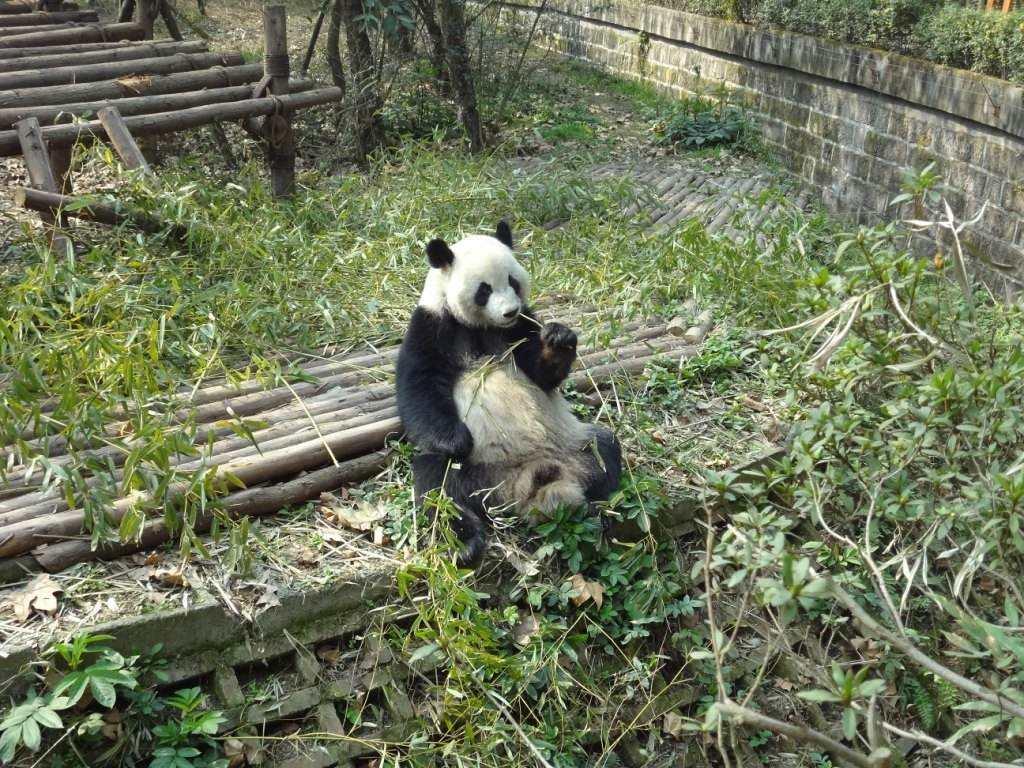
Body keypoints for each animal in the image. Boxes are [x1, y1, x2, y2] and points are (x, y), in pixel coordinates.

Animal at [396, 220, 622, 566]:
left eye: (513, 282)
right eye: (484, 289)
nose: (509, 311)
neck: (483, 328)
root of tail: (522, 481)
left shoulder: (522, 326)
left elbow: (542, 374)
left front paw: (559, 339)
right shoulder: (432, 326)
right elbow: (419, 385)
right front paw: (455, 440)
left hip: (571, 443)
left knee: (604, 448)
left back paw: (600, 510)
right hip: (470, 472)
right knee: (437, 486)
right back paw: (463, 544)